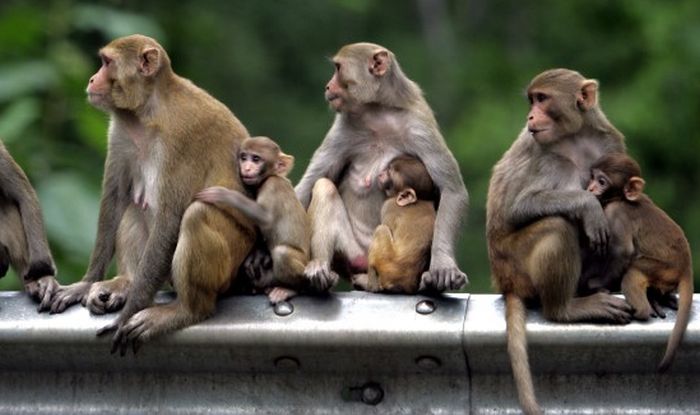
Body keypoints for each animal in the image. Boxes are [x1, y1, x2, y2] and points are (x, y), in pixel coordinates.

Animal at [46, 35, 256, 355]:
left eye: (107, 63)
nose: (92, 78)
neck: (146, 113)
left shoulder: (183, 139)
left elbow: (170, 218)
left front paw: (128, 314)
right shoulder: (119, 131)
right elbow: (115, 198)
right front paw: (85, 284)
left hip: (229, 265)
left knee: (197, 214)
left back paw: (187, 310)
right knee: (133, 207)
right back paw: (126, 282)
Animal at [196, 136, 311, 304]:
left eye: (256, 159)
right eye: (244, 157)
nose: (247, 168)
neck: (272, 176)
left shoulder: (271, 186)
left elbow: (266, 218)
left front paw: (224, 195)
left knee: (283, 253)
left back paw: (291, 289)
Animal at [353, 155, 436, 294]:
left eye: (390, 172)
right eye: (388, 169)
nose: (381, 173)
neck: (418, 200)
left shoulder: (388, 206)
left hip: (386, 262)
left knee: (381, 230)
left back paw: (371, 286)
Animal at [486, 68, 634, 415]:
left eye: (542, 99)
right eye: (532, 100)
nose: (530, 116)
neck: (575, 136)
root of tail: (504, 280)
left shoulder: (611, 143)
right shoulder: (542, 153)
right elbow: (517, 207)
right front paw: (589, 207)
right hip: (515, 261)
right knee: (557, 224)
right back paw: (565, 309)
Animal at [584, 152, 693, 372]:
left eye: (602, 181)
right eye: (592, 177)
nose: (590, 188)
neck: (621, 198)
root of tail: (686, 266)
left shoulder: (616, 212)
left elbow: (623, 252)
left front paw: (598, 285)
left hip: (663, 268)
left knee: (633, 270)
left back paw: (639, 311)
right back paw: (658, 298)